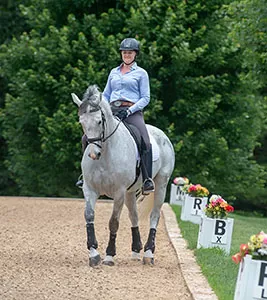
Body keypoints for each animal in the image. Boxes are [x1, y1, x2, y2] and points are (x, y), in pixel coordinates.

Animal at [71, 85, 176, 266]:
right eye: (81, 122)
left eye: (99, 121)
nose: (93, 154)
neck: (106, 154)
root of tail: (162, 134)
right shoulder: (90, 189)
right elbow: (89, 215)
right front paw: (93, 253)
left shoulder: (118, 192)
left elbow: (113, 222)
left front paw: (109, 255)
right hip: (130, 193)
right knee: (134, 216)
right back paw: (135, 251)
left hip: (161, 184)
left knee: (154, 215)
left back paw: (148, 254)